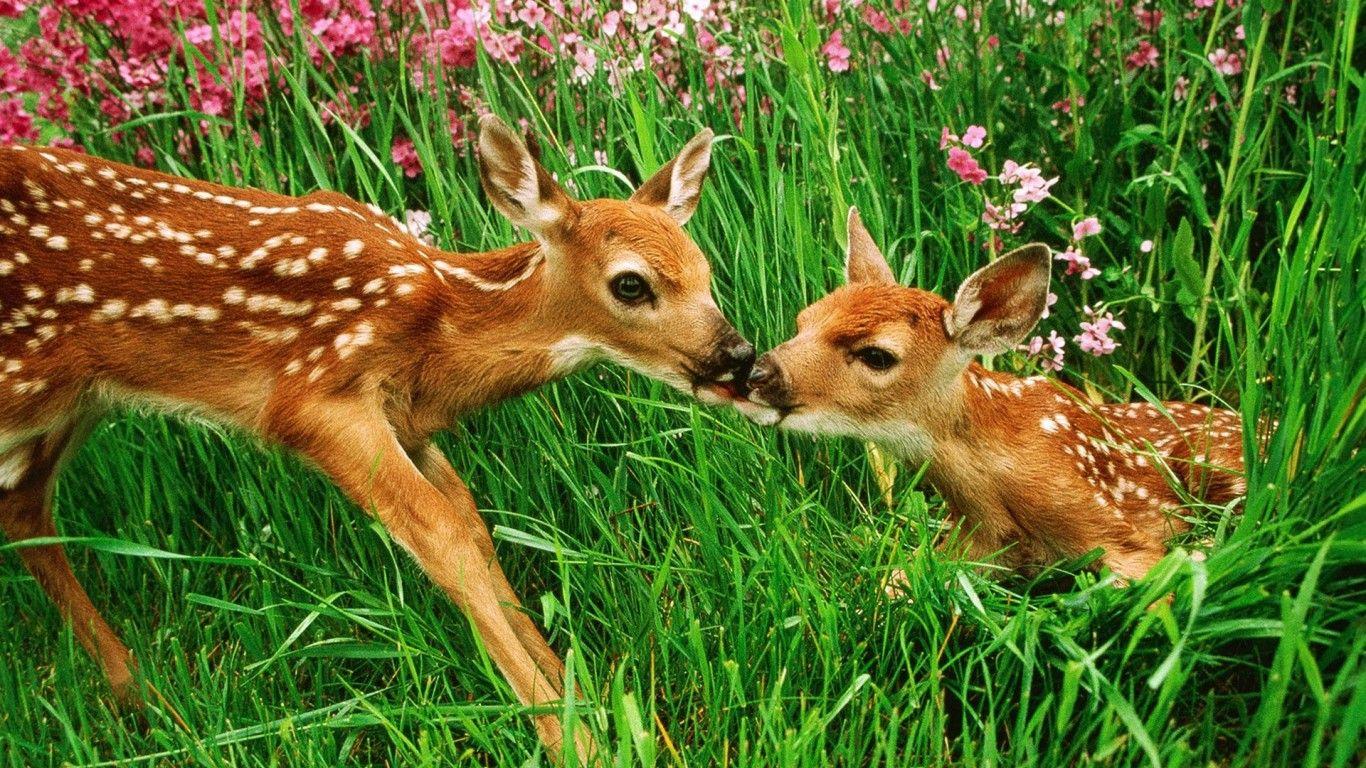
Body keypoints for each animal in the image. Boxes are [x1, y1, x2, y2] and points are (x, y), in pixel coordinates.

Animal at [0, 116, 758, 762]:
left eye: (704, 270)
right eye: (631, 284)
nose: (738, 356)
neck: (433, 327)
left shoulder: (407, 421)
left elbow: (472, 526)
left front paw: (595, 704)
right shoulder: (316, 397)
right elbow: (442, 541)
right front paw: (574, 741)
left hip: (69, 403)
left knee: (24, 508)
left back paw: (144, 699)